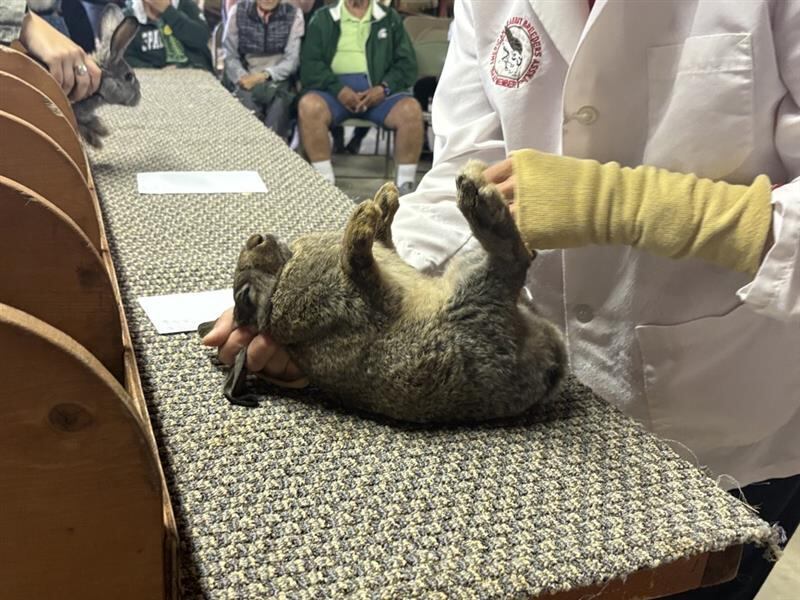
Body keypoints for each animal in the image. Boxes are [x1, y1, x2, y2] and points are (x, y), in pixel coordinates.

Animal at [231, 162, 567, 423]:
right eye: (244, 296)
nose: (255, 239)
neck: (278, 281)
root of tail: (551, 364)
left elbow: (383, 242)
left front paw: (385, 199)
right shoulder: (357, 301)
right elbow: (358, 261)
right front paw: (363, 218)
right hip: (472, 298)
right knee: (511, 257)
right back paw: (476, 193)